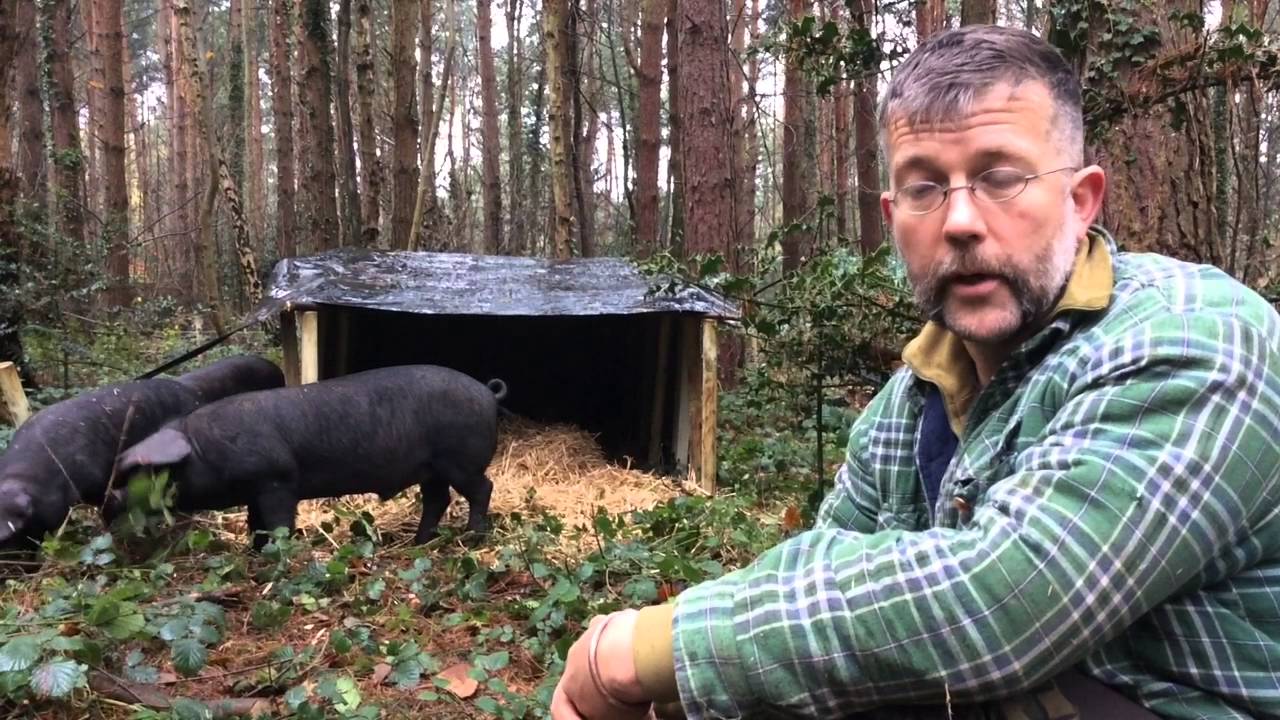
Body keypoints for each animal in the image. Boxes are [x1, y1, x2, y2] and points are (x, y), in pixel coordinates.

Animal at [111, 365, 507, 550]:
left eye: (141, 473)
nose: (109, 499)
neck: (204, 448)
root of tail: (486, 392)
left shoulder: (276, 480)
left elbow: (277, 523)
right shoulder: (256, 492)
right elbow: (255, 525)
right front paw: (255, 553)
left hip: (459, 459)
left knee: (482, 488)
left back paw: (472, 536)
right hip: (431, 468)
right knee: (437, 500)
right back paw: (419, 542)